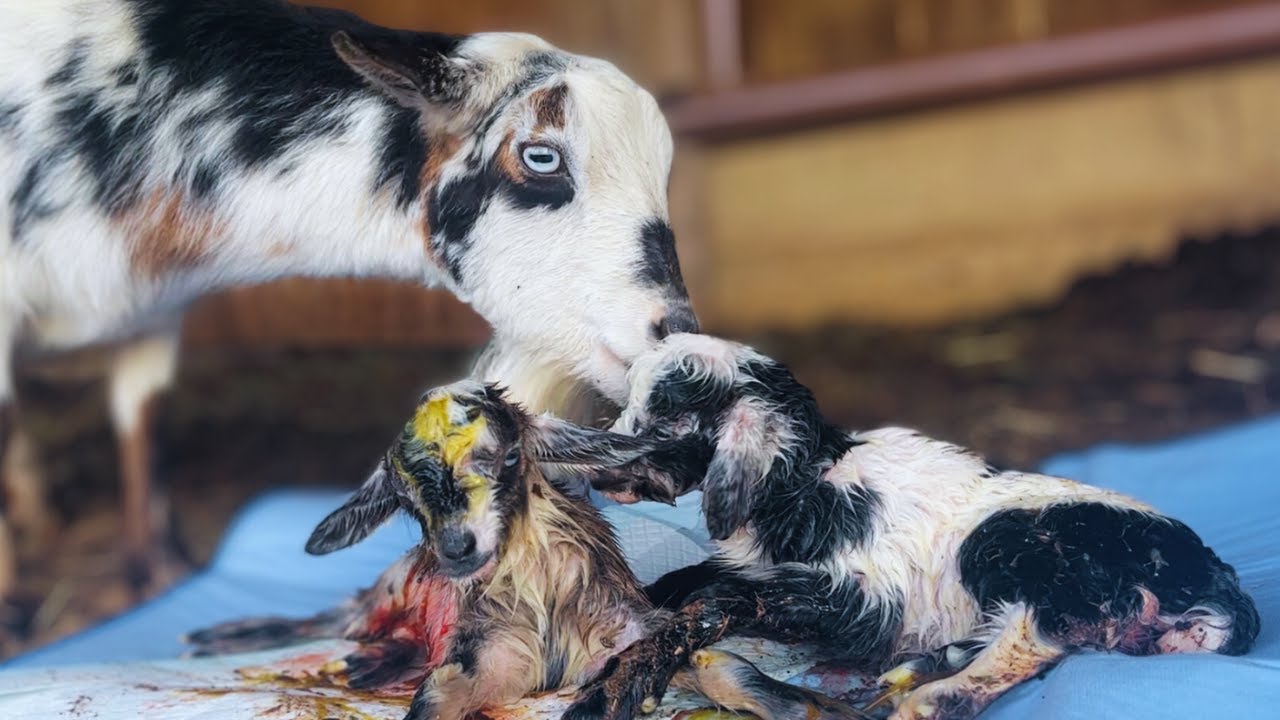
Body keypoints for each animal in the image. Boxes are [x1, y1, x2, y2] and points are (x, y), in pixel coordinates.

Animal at [563, 333, 1260, 720]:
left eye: (661, 419)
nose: (595, 467)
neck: (812, 480)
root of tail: (1220, 591)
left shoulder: (860, 603)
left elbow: (711, 603)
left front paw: (612, 692)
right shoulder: (755, 566)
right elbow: (677, 584)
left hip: (1017, 549)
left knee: (1038, 638)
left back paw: (927, 698)